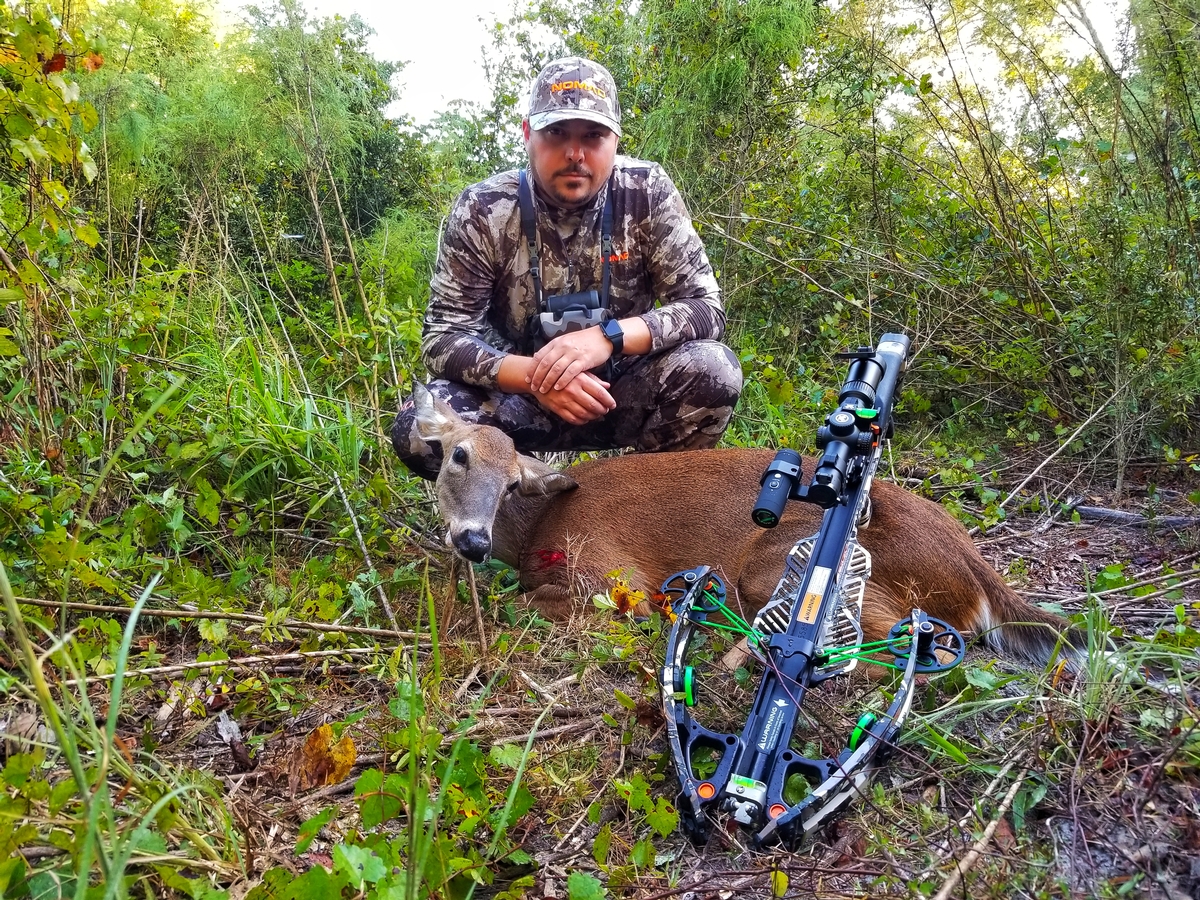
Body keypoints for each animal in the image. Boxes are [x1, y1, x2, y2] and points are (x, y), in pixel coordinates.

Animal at [410, 383, 1079, 668]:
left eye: (511, 483)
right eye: (457, 456)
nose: (472, 540)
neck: (535, 529)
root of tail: (972, 565)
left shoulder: (612, 576)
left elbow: (531, 602)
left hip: (784, 566)